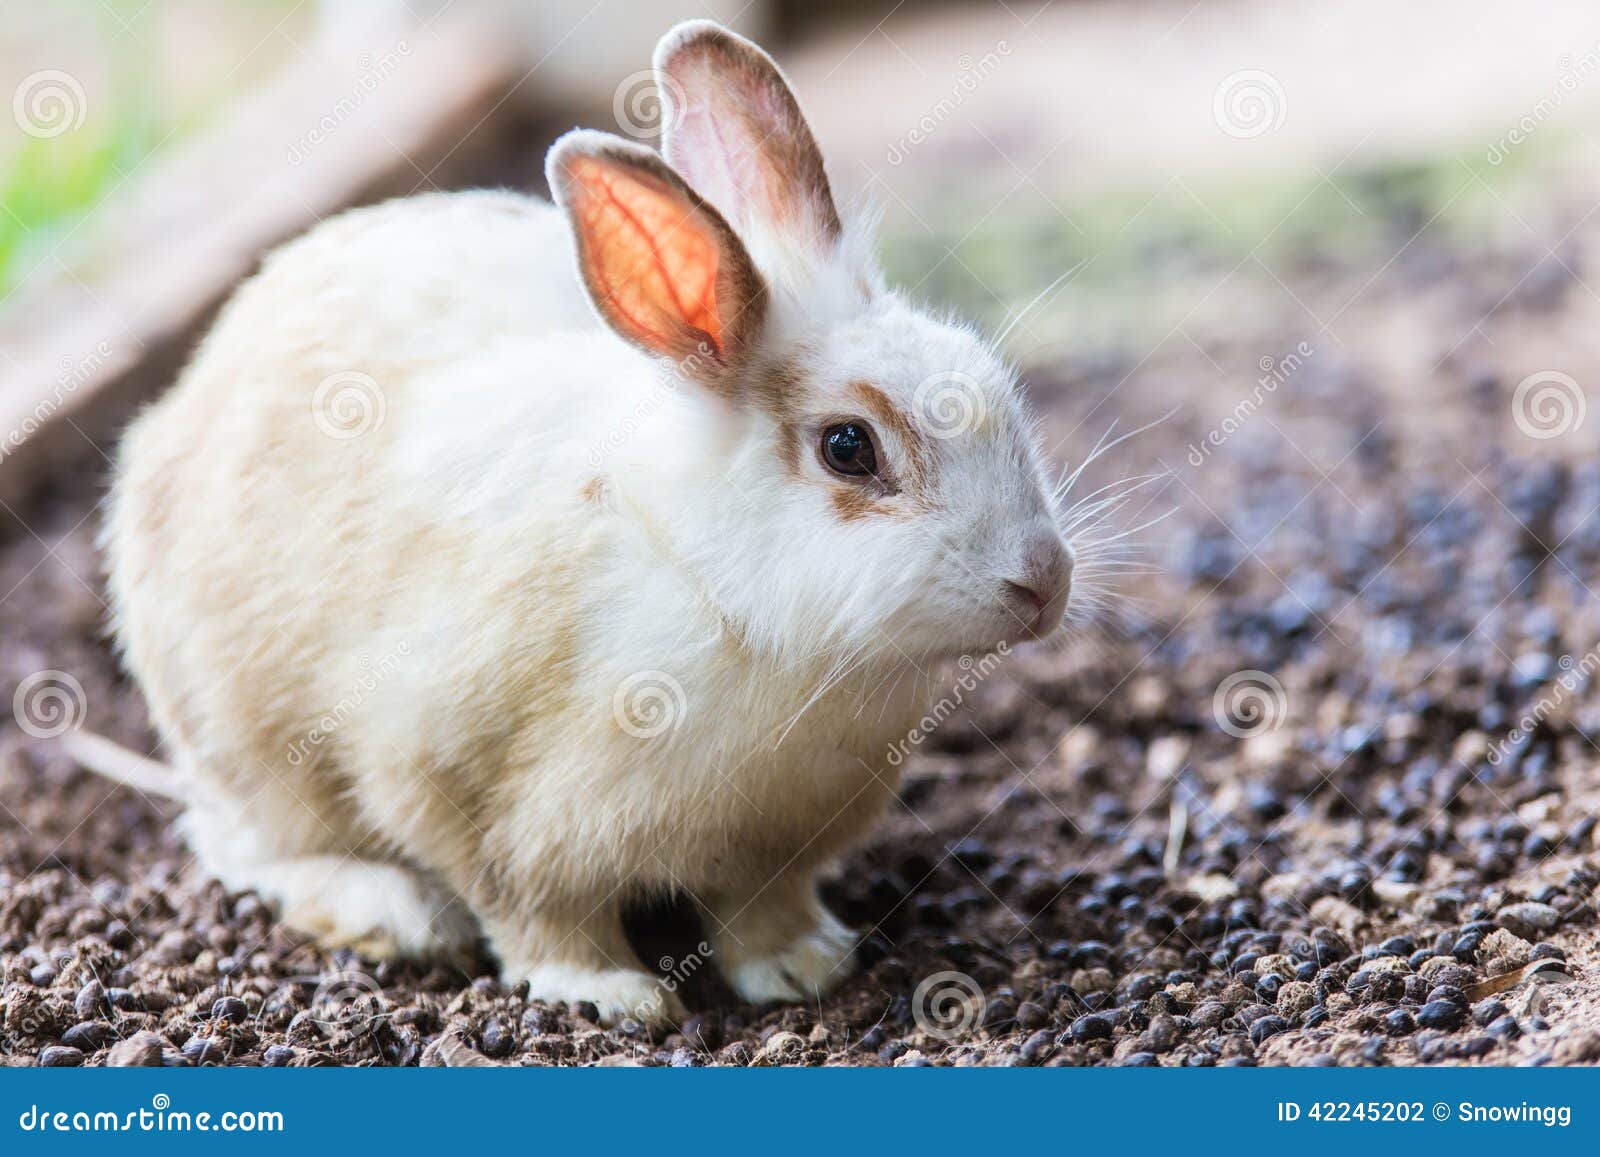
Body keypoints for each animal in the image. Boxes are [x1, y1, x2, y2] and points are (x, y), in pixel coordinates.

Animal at [78, 20, 1075, 1026]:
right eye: (848, 448)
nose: (1044, 581)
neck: (708, 581)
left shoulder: (774, 848)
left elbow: (761, 910)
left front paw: (804, 968)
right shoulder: (455, 779)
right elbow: (534, 909)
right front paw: (608, 995)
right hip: (245, 735)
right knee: (256, 845)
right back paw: (392, 913)